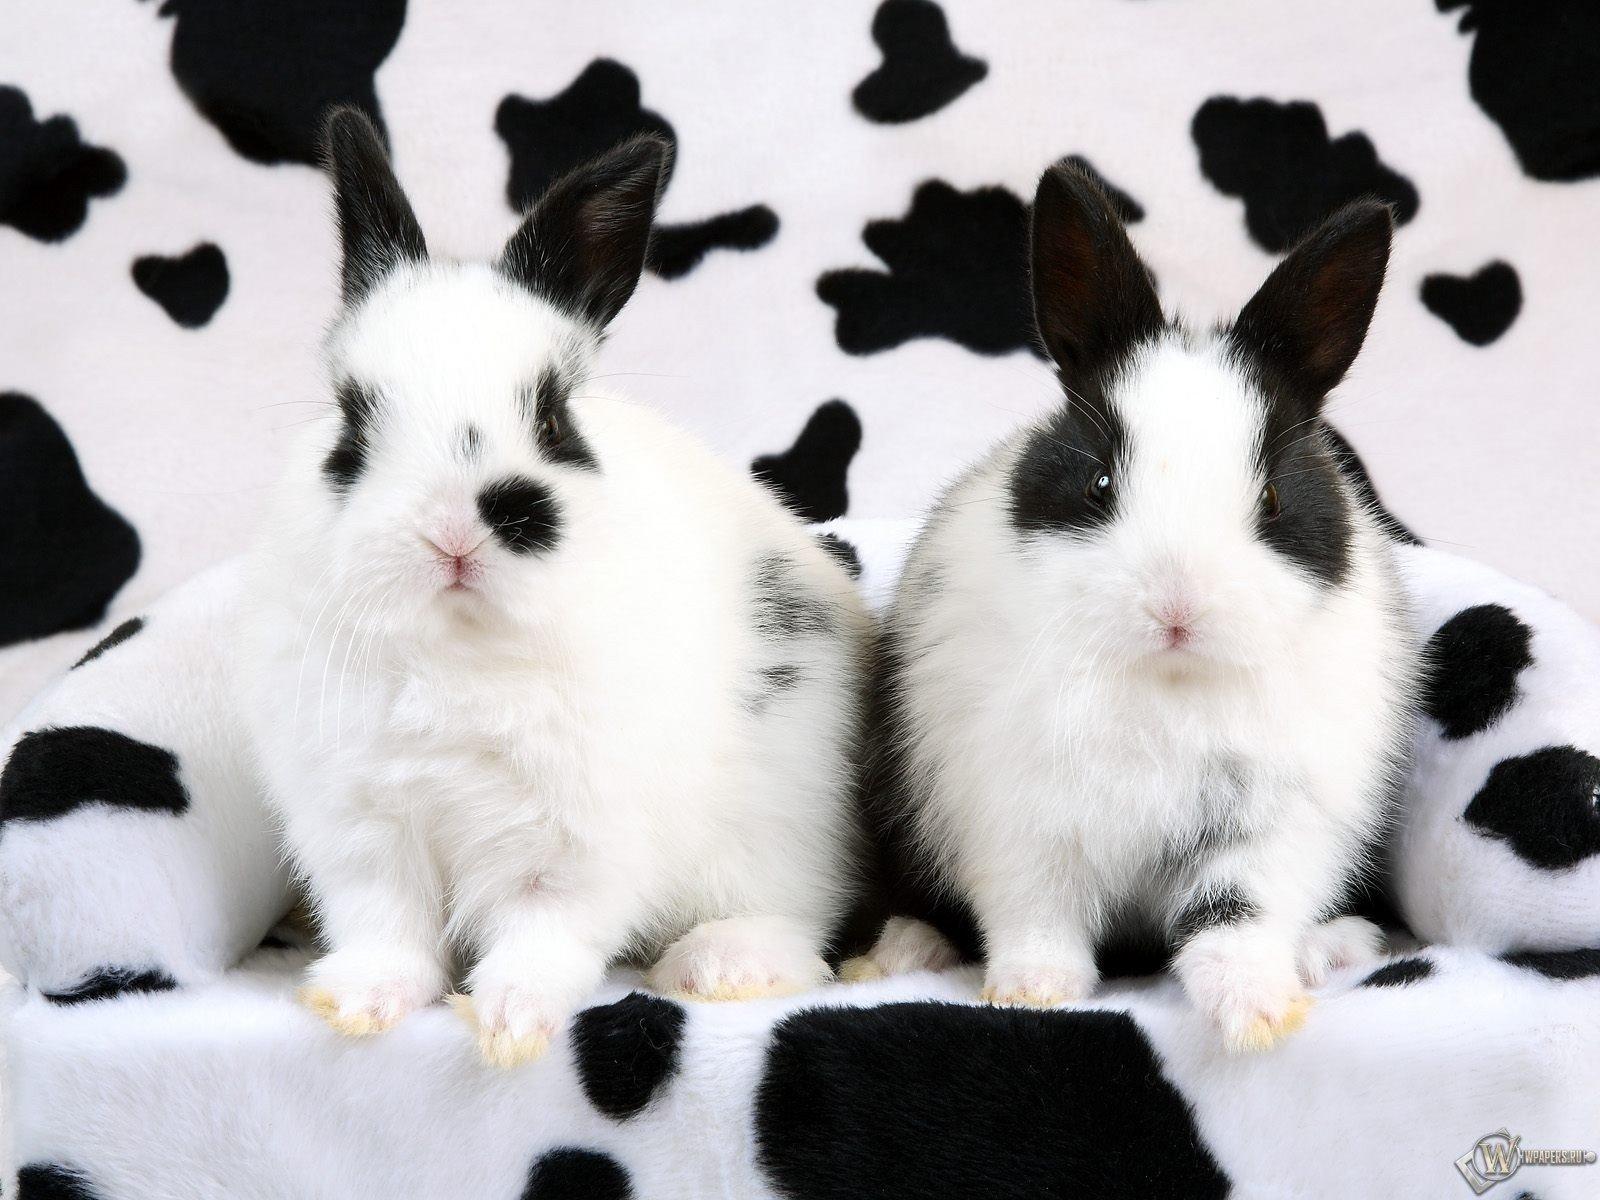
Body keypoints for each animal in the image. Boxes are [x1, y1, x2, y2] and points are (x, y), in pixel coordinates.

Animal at [239, 109, 870, 1067]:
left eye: (552, 417)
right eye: (352, 422)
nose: (456, 529)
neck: (458, 651)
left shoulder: (573, 842)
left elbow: (545, 931)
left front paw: (510, 1022)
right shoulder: (363, 831)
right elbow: (388, 927)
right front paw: (359, 1003)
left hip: (780, 825)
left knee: (799, 923)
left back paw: (721, 966)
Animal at [850, 160, 1419, 1052]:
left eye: (1271, 499)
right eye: (1098, 483)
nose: (1177, 607)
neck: (1166, 679)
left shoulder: (1268, 825)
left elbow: (1238, 918)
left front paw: (1260, 1013)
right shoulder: (1019, 819)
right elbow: (1038, 916)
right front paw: (1031, 992)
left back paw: (1334, 946)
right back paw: (906, 949)